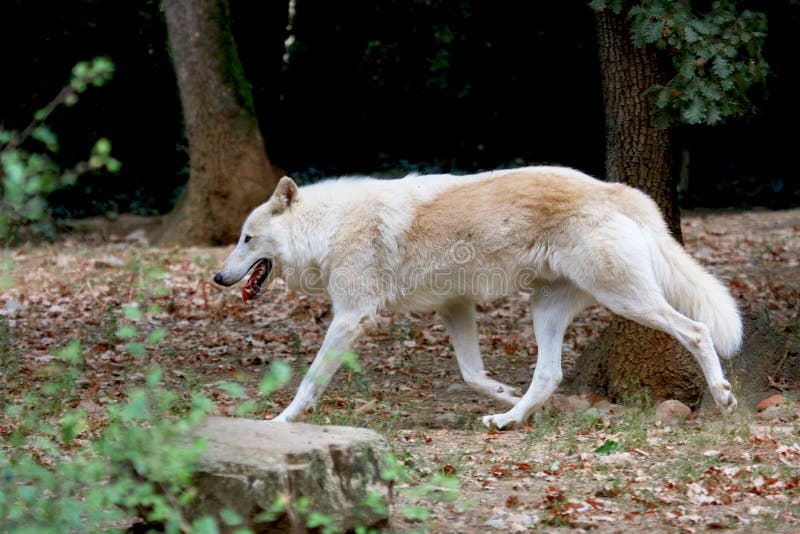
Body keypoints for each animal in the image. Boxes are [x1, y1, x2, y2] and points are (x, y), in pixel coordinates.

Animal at [214, 166, 742, 429]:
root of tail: (615, 189)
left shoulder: (351, 319)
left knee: (696, 330)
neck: (328, 227)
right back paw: (509, 418)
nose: (218, 277)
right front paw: (503, 392)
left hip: (625, 300)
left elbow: (308, 382)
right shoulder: (455, 306)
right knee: (549, 375)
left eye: (245, 239)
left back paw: (722, 395)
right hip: (545, 310)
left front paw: (281, 421)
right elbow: (472, 374)